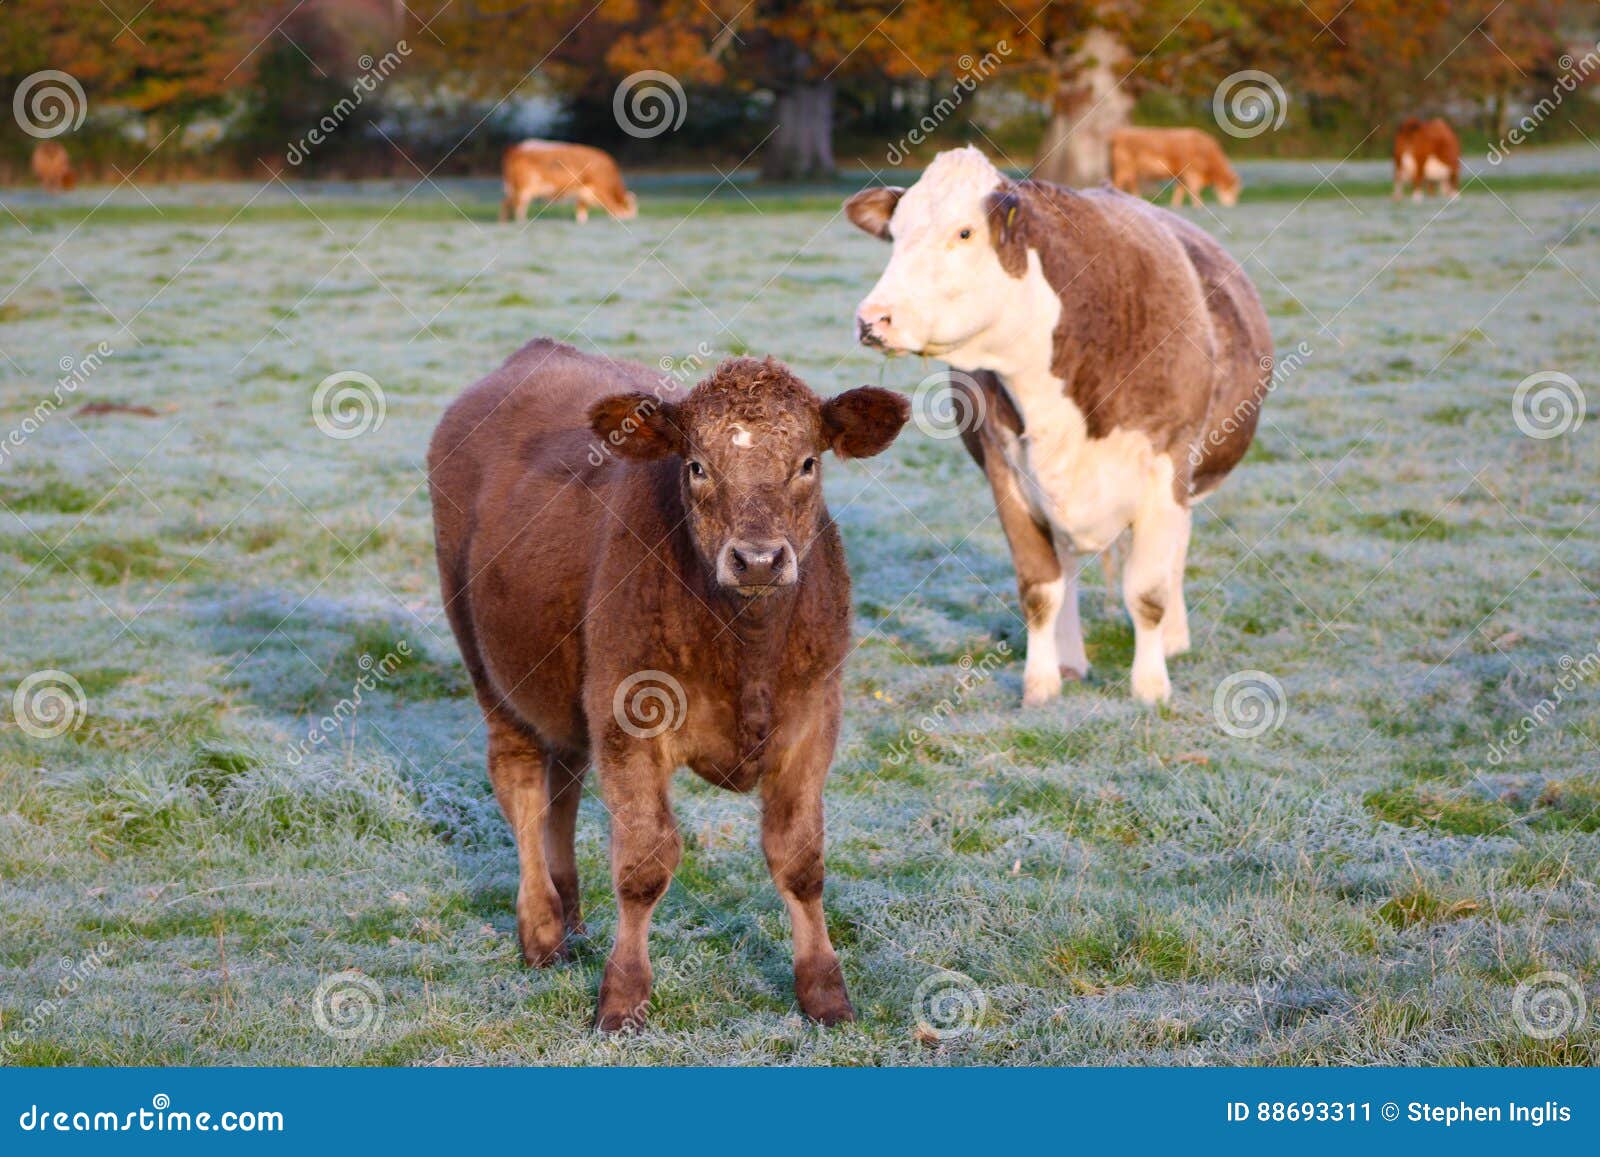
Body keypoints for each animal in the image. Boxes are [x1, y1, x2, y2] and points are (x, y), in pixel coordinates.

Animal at [428, 339, 908, 1031]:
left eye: (808, 462)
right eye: (698, 466)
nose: (758, 560)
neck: (746, 652)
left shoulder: (814, 720)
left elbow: (799, 860)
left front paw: (824, 991)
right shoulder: (627, 719)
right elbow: (644, 863)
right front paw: (622, 997)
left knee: (562, 789)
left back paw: (571, 916)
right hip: (488, 665)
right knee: (520, 784)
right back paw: (542, 930)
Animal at [500, 140, 638, 224]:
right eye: (631, 209)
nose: (634, 219)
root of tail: (516, 148)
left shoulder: (583, 192)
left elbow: (581, 209)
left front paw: (582, 222)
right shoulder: (599, 190)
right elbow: (612, 207)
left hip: (515, 189)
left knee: (507, 203)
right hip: (523, 189)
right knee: (518, 206)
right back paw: (521, 222)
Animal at [846, 146, 1272, 706]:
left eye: (964, 232)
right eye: (895, 234)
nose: (873, 319)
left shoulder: (1168, 463)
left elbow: (1149, 590)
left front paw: (1151, 687)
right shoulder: (1005, 470)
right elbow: (1039, 588)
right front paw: (1041, 685)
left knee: (1174, 548)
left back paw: (1174, 640)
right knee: (1066, 565)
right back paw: (1071, 658)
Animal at [1110, 127, 1241, 208]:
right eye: (1232, 190)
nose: (1232, 205)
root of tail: (1118, 133)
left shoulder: (1181, 175)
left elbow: (1180, 190)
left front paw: (1175, 205)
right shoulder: (1191, 173)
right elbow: (1194, 190)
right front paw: (1198, 206)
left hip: (1132, 170)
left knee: (1132, 184)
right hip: (1124, 168)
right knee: (1119, 182)